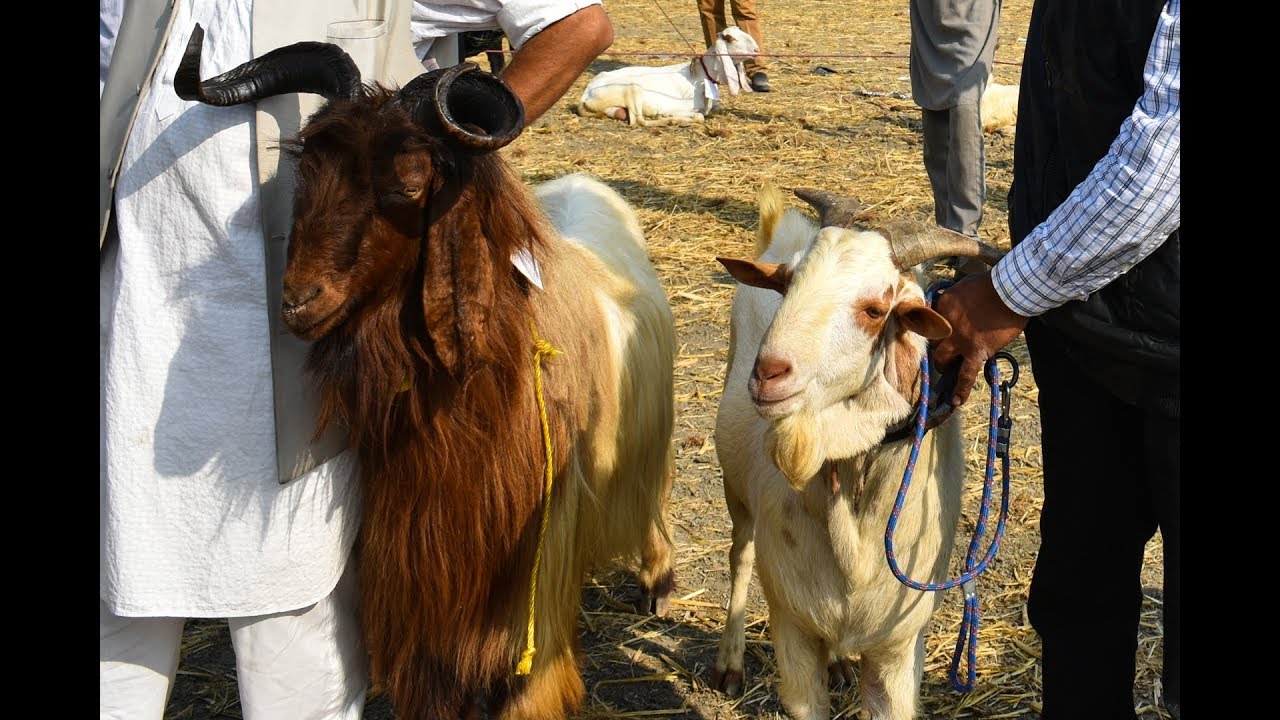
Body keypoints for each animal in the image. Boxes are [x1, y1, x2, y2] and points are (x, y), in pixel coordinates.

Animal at [576, 26, 758, 126]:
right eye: (730, 38)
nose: (757, 50)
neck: (700, 76)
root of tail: (586, 95)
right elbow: (699, 116)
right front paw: (671, 116)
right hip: (632, 88)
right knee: (639, 122)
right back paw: (667, 119)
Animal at [710, 184, 1005, 720]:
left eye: (873, 309)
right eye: (787, 284)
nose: (768, 373)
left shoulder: (898, 648)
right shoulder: (792, 629)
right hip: (735, 490)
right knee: (740, 556)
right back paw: (730, 662)